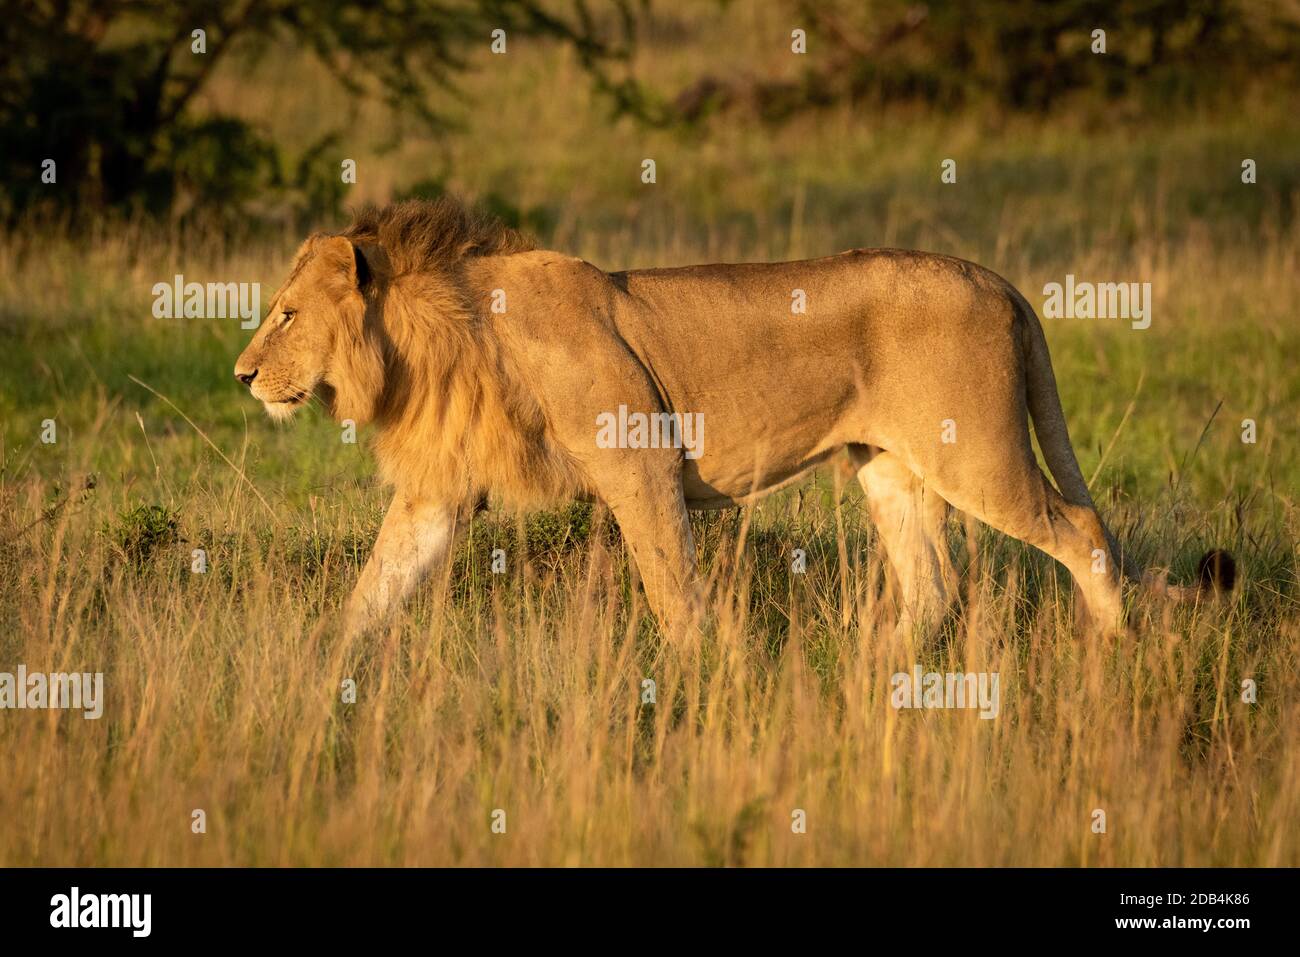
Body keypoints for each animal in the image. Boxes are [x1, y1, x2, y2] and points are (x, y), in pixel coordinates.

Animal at [234, 196, 1232, 639]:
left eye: (284, 313)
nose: (242, 374)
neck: (441, 341)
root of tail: (1002, 281)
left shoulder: (637, 457)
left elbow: (671, 585)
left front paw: (695, 676)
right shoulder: (438, 495)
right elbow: (372, 588)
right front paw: (321, 674)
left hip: (979, 455)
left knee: (1082, 527)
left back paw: (1112, 650)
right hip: (889, 465)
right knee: (933, 582)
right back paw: (880, 674)